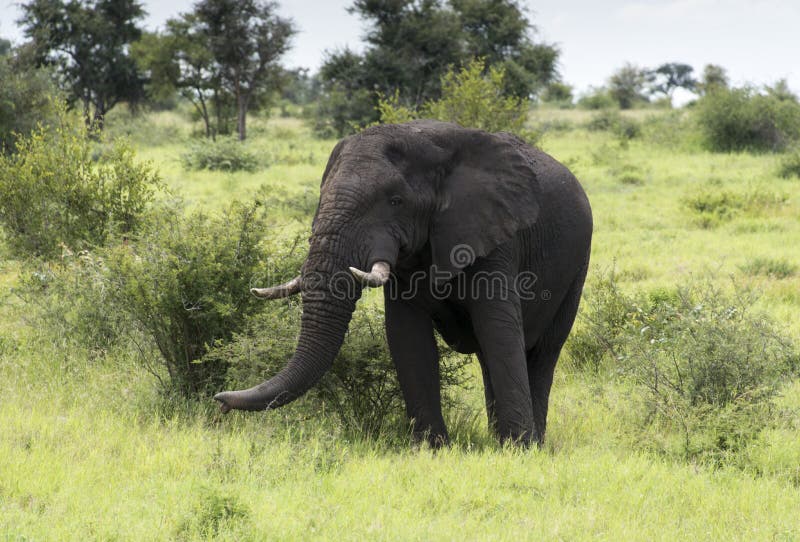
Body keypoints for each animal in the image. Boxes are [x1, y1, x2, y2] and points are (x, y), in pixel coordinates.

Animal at [214, 120, 592, 447]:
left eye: (396, 202)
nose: (220, 400)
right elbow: (407, 337)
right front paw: (431, 450)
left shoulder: (495, 238)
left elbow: (498, 330)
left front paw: (518, 450)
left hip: (577, 265)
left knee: (543, 351)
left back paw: (532, 442)